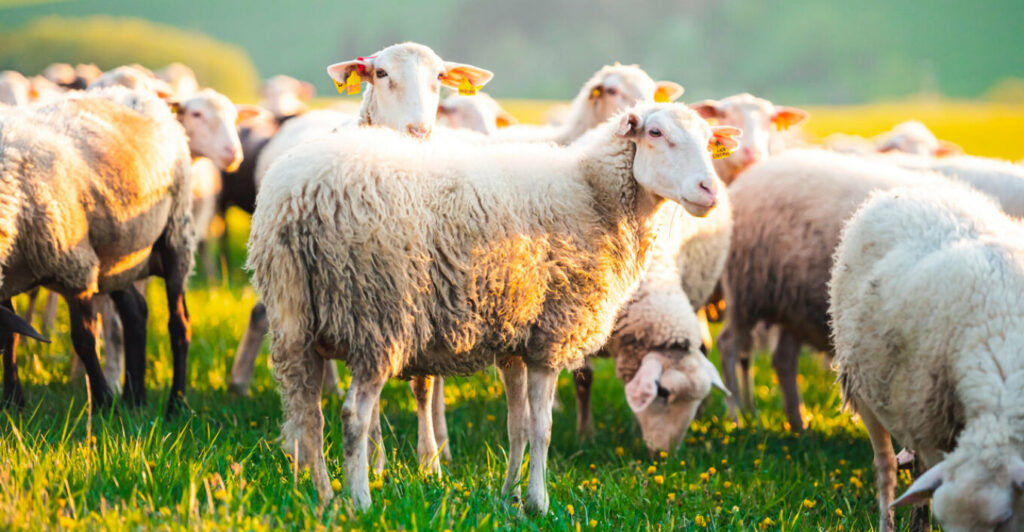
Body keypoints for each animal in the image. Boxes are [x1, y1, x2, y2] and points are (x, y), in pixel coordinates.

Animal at [0, 87, 195, 416]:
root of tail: (143, 94)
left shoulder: (74, 269)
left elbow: (84, 340)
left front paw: (104, 404)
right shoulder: (8, 281)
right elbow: (10, 335)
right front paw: (13, 403)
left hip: (176, 235)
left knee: (179, 324)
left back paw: (176, 404)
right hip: (116, 260)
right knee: (136, 311)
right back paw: (134, 399)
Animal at [247, 102, 731, 512]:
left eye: (711, 141)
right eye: (655, 132)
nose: (710, 190)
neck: (596, 197)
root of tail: (296, 198)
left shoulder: (516, 341)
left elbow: (517, 425)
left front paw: (508, 496)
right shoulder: (551, 337)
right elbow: (542, 428)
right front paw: (539, 502)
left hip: (295, 319)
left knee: (308, 415)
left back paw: (322, 499)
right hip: (376, 313)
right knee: (353, 416)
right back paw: (360, 503)